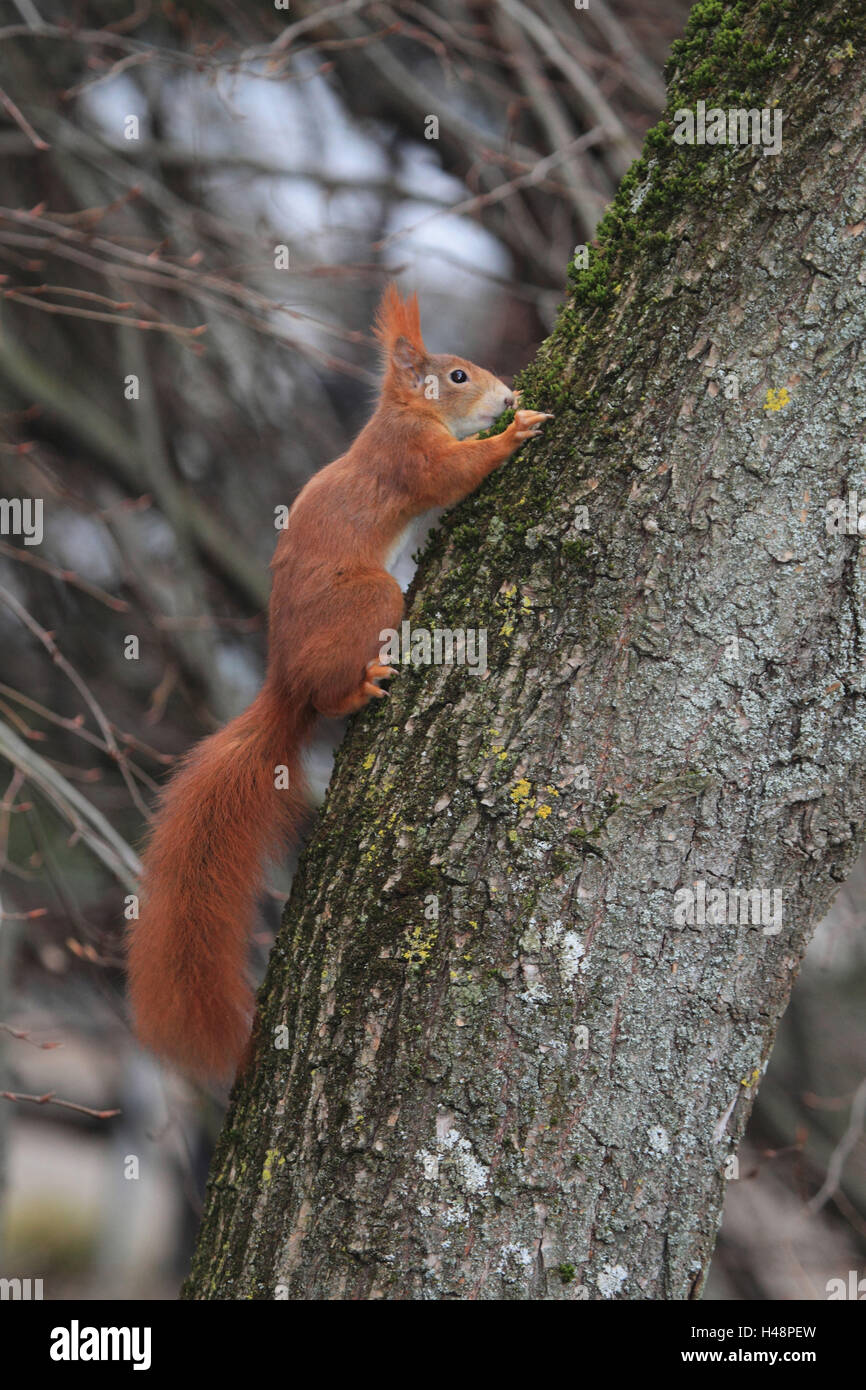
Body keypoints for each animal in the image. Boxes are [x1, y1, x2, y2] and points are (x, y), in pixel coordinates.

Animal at [126, 283, 552, 1082]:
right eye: (457, 376)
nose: (509, 393)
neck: (403, 411)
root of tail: (284, 681)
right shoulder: (410, 458)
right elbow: (452, 475)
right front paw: (516, 432)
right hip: (369, 603)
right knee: (334, 690)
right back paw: (362, 687)